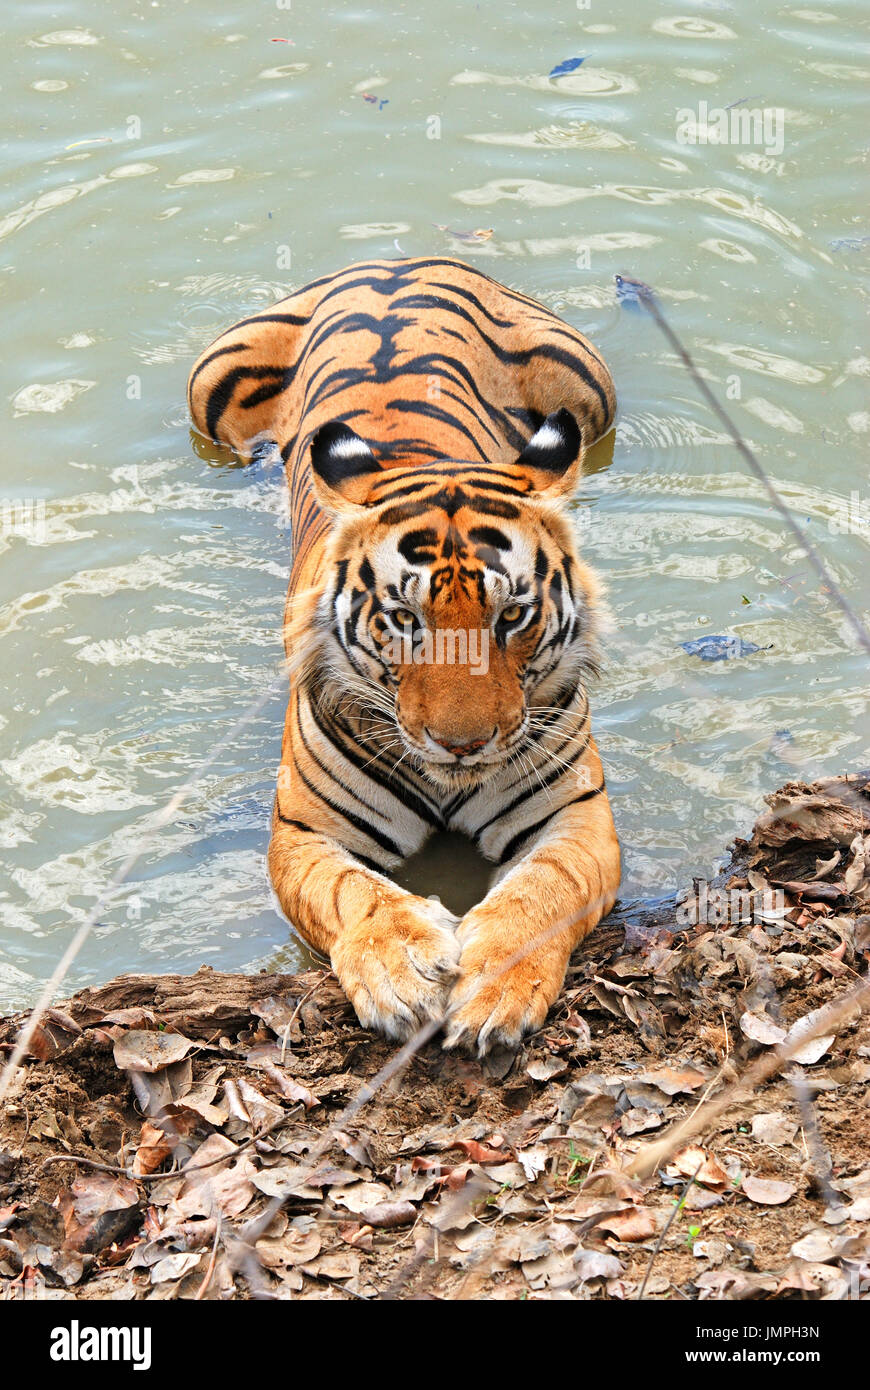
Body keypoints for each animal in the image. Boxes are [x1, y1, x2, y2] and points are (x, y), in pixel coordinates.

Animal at [188, 256, 620, 1054]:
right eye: (403, 619)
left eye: (512, 615)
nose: (463, 743)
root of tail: (395, 260)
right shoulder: (305, 835)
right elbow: (354, 893)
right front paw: (400, 974)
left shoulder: (579, 817)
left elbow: (545, 891)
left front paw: (493, 990)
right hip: (207, 395)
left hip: (592, 394)